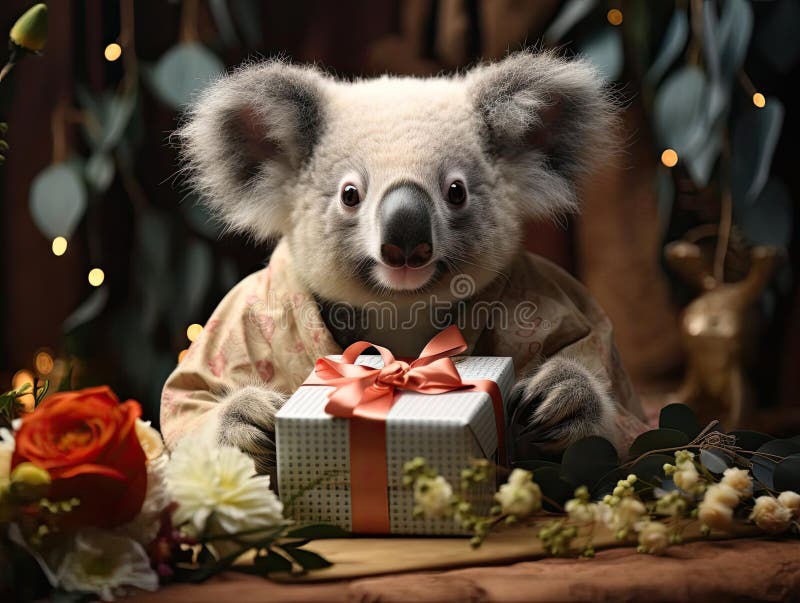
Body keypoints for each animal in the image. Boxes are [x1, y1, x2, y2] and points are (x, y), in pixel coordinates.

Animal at [160, 50, 648, 476]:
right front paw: (249, 424)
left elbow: (620, 410)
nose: (406, 241)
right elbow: (189, 398)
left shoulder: (547, 303)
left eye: (456, 191)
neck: (399, 308)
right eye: (350, 194)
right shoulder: (249, 319)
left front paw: (562, 398)